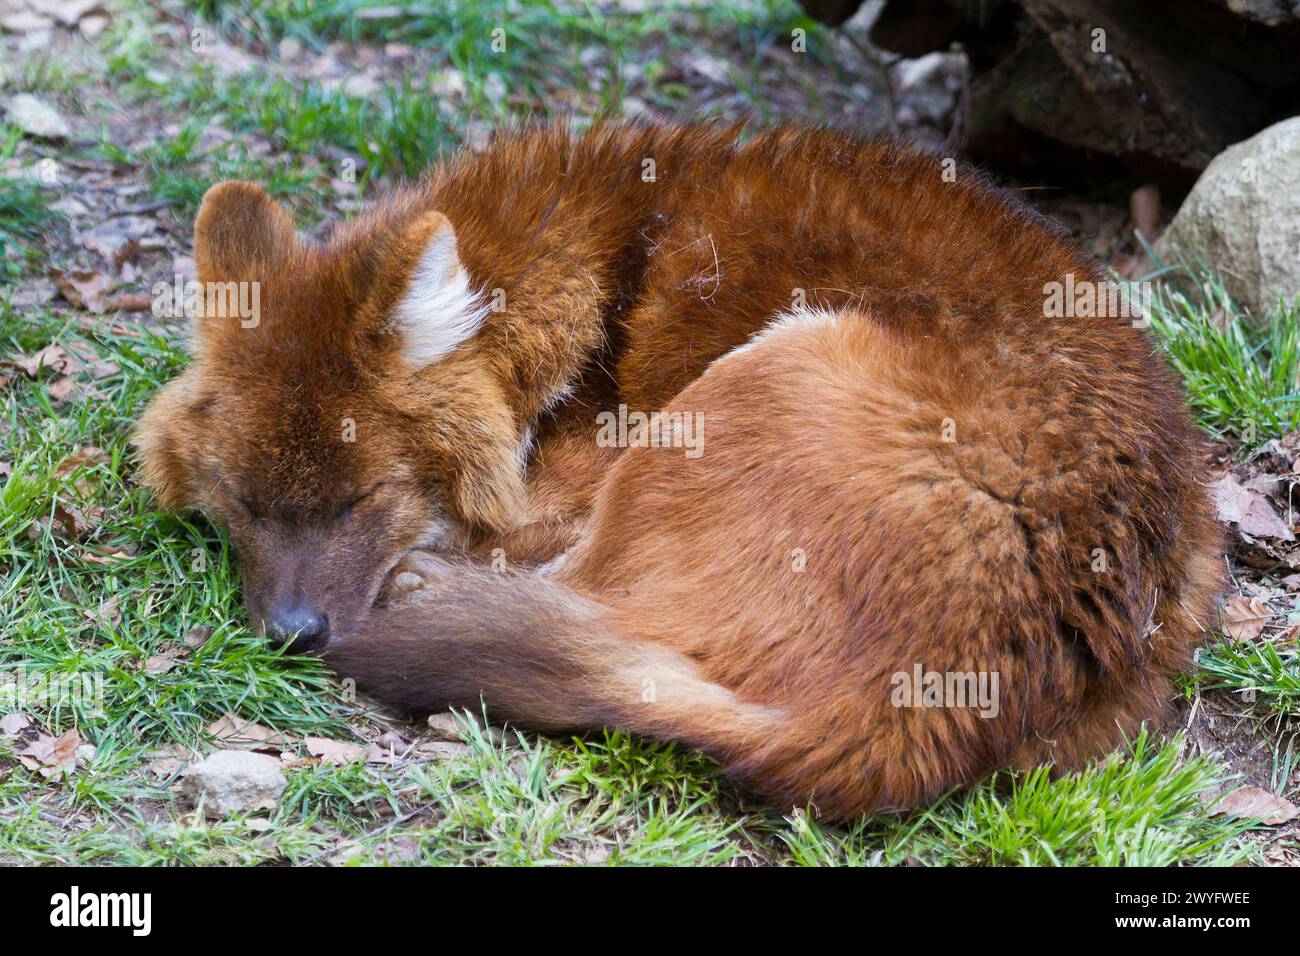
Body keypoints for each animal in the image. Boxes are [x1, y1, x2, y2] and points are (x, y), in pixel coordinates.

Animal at [135, 122, 1223, 819]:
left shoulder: (580, 472)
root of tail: (917, 712)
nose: (291, 634)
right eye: (242, 505)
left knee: (586, 602)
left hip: (763, 375)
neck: (594, 273)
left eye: (364, 498)